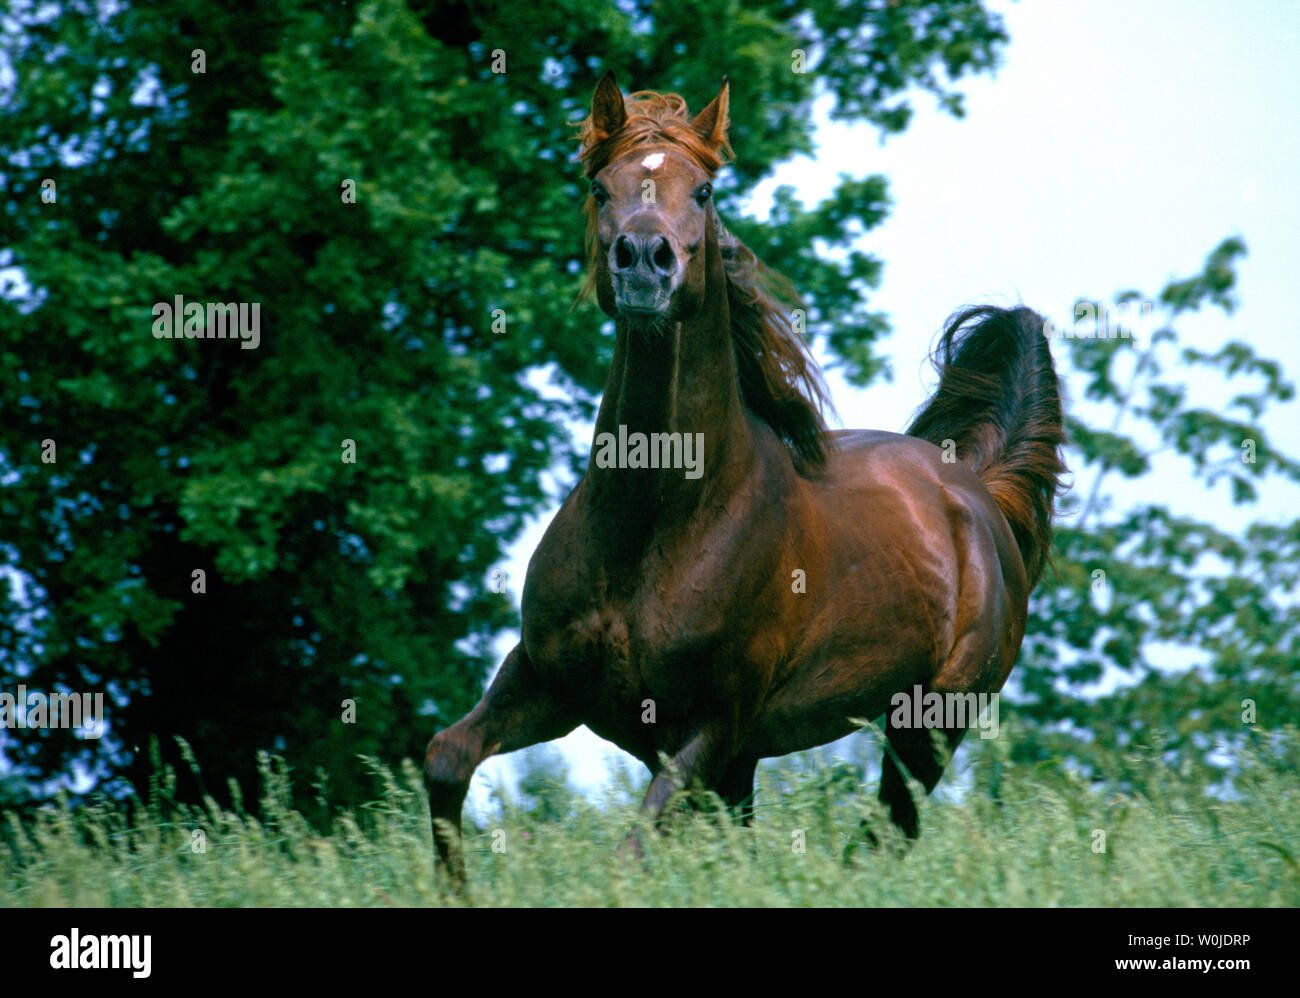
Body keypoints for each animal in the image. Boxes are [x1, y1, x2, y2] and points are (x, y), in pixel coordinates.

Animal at [424, 71, 1067, 890]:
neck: (658, 519)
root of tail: (979, 492)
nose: (644, 261)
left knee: (884, 835)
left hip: (926, 726)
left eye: (702, 191)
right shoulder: (547, 681)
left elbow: (631, 852)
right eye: (600, 187)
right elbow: (447, 757)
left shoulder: (712, 726)